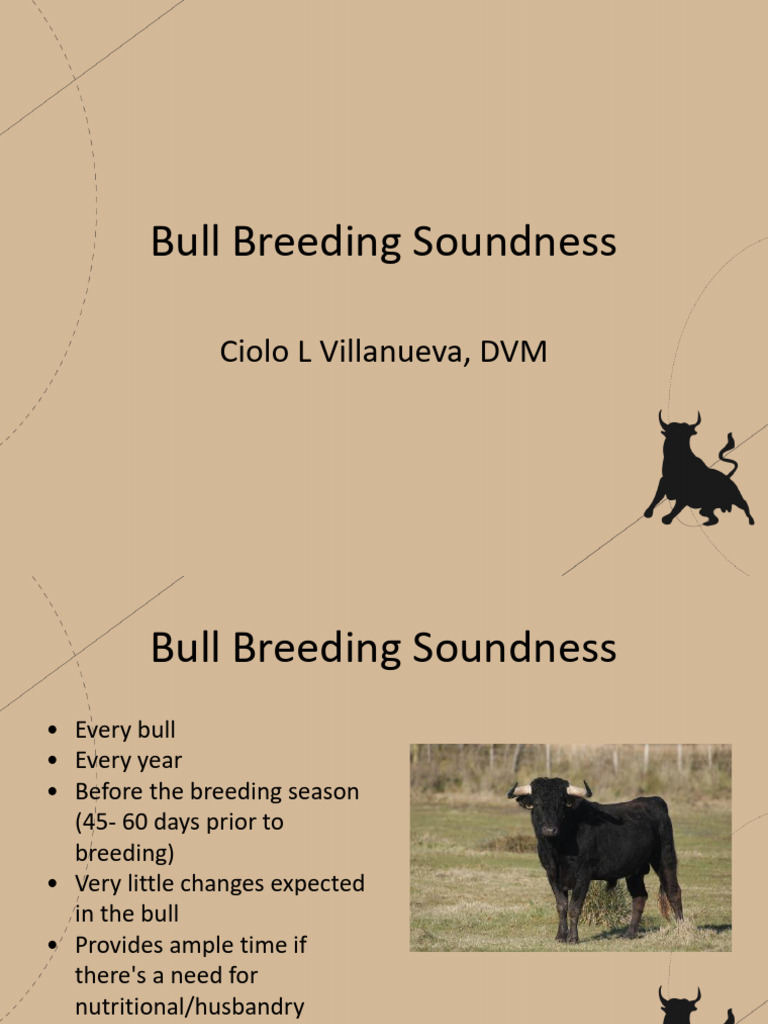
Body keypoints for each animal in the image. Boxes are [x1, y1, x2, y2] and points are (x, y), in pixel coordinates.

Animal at [507, 777, 683, 944]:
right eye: (536, 803)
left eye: (562, 804)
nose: (550, 830)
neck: (557, 848)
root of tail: (654, 800)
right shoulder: (552, 874)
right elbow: (562, 906)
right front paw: (560, 936)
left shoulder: (583, 874)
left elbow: (574, 907)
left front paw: (573, 938)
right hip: (635, 870)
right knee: (639, 897)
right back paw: (629, 933)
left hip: (665, 858)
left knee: (673, 891)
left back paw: (680, 929)